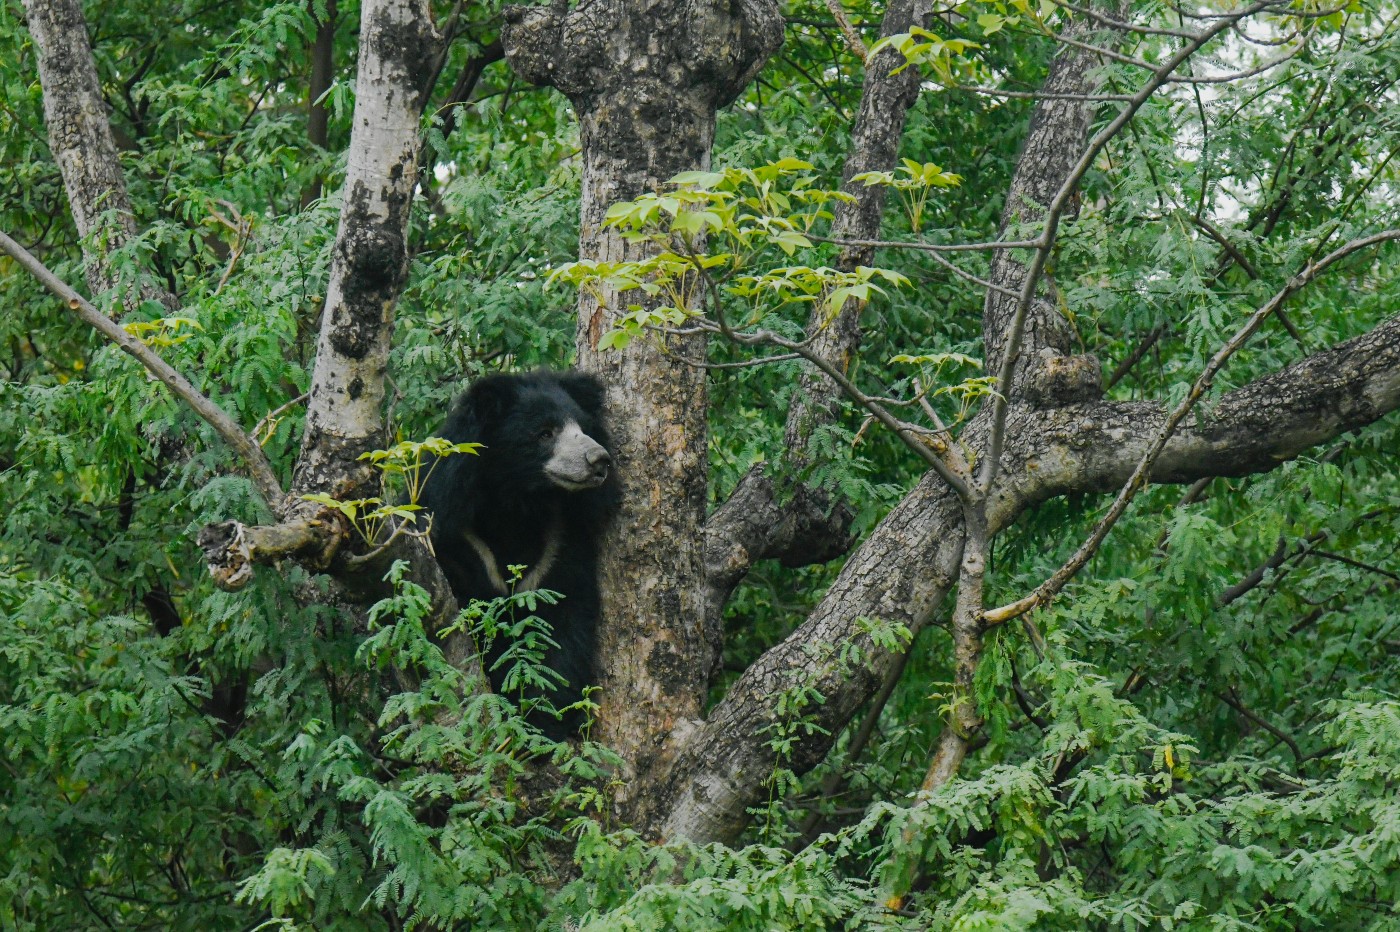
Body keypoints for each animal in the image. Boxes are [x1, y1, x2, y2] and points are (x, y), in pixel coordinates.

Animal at [420, 371, 619, 738]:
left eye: (585, 427)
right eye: (545, 433)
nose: (599, 460)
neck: (519, 503)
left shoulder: (559, 550)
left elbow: (562, 634)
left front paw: (544, 717)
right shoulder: (458, 537)